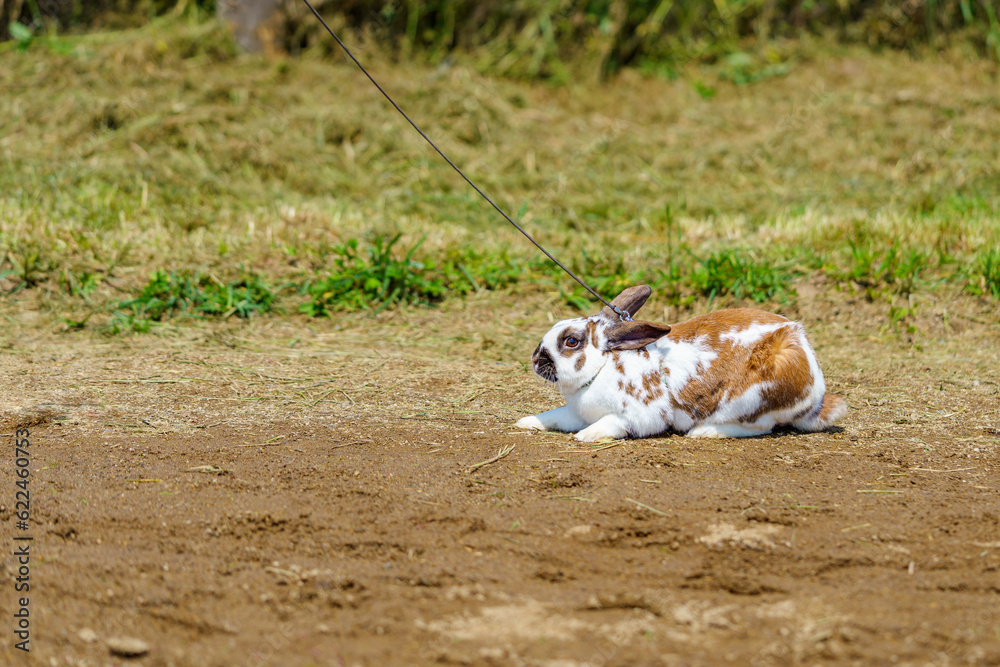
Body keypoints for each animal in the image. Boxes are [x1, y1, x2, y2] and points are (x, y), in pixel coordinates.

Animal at [515, 285, 847, 441]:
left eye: (571, 341)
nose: (535, 358)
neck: (602, 369)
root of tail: (815, 396)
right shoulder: (574, 413)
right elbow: (553, 417)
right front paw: (526, 422)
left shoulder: (638, 416)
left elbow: (610, 423)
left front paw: (587, 436)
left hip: (755, 398)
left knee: (760, 427)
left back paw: (705, 432)